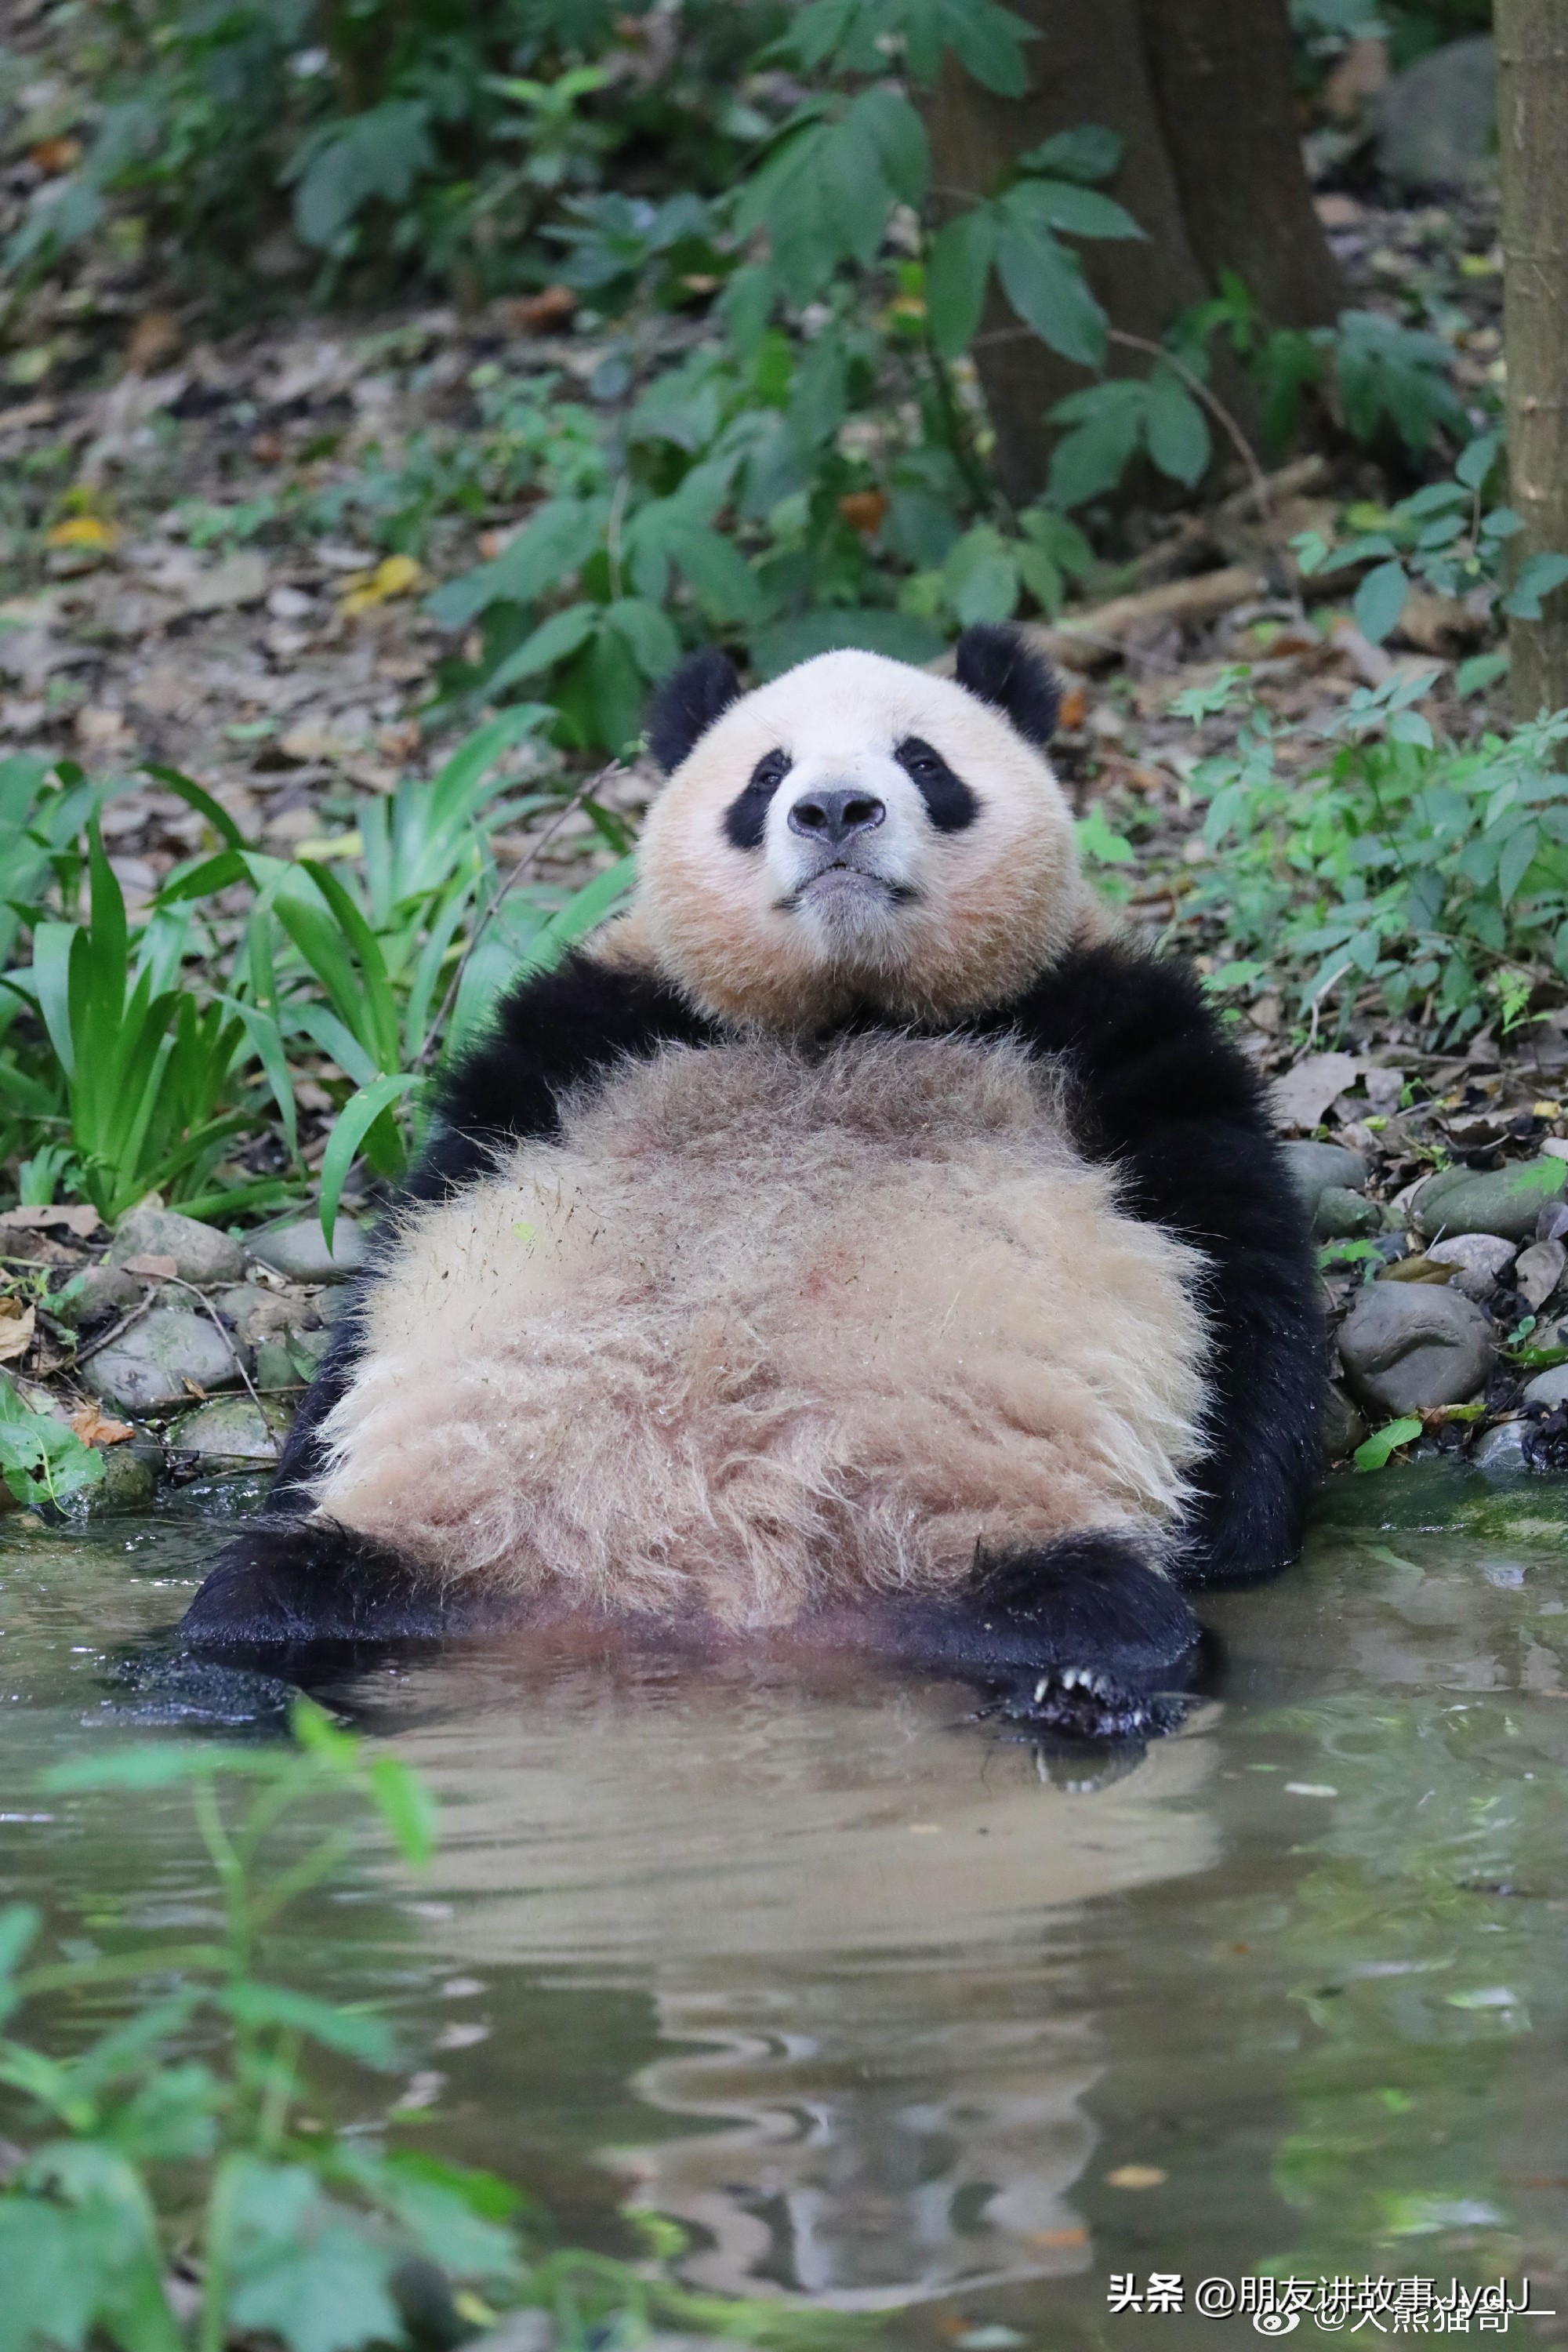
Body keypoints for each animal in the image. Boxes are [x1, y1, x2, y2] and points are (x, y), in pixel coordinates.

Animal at [182, 625, 1324, 1741]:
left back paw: (1083, 1692)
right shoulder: (581, 1043)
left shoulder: (1105, 1035)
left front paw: (1231, 1538)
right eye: (765, 773)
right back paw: (234, 1692)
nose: (834, 810)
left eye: (923, 761)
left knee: (1110, 1611)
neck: (842, 1013)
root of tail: (727, 1607)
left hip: (979, 1537)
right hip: (450, 1544)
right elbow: (404, 1256)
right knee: (264, 1591)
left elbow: (1234, 1272)